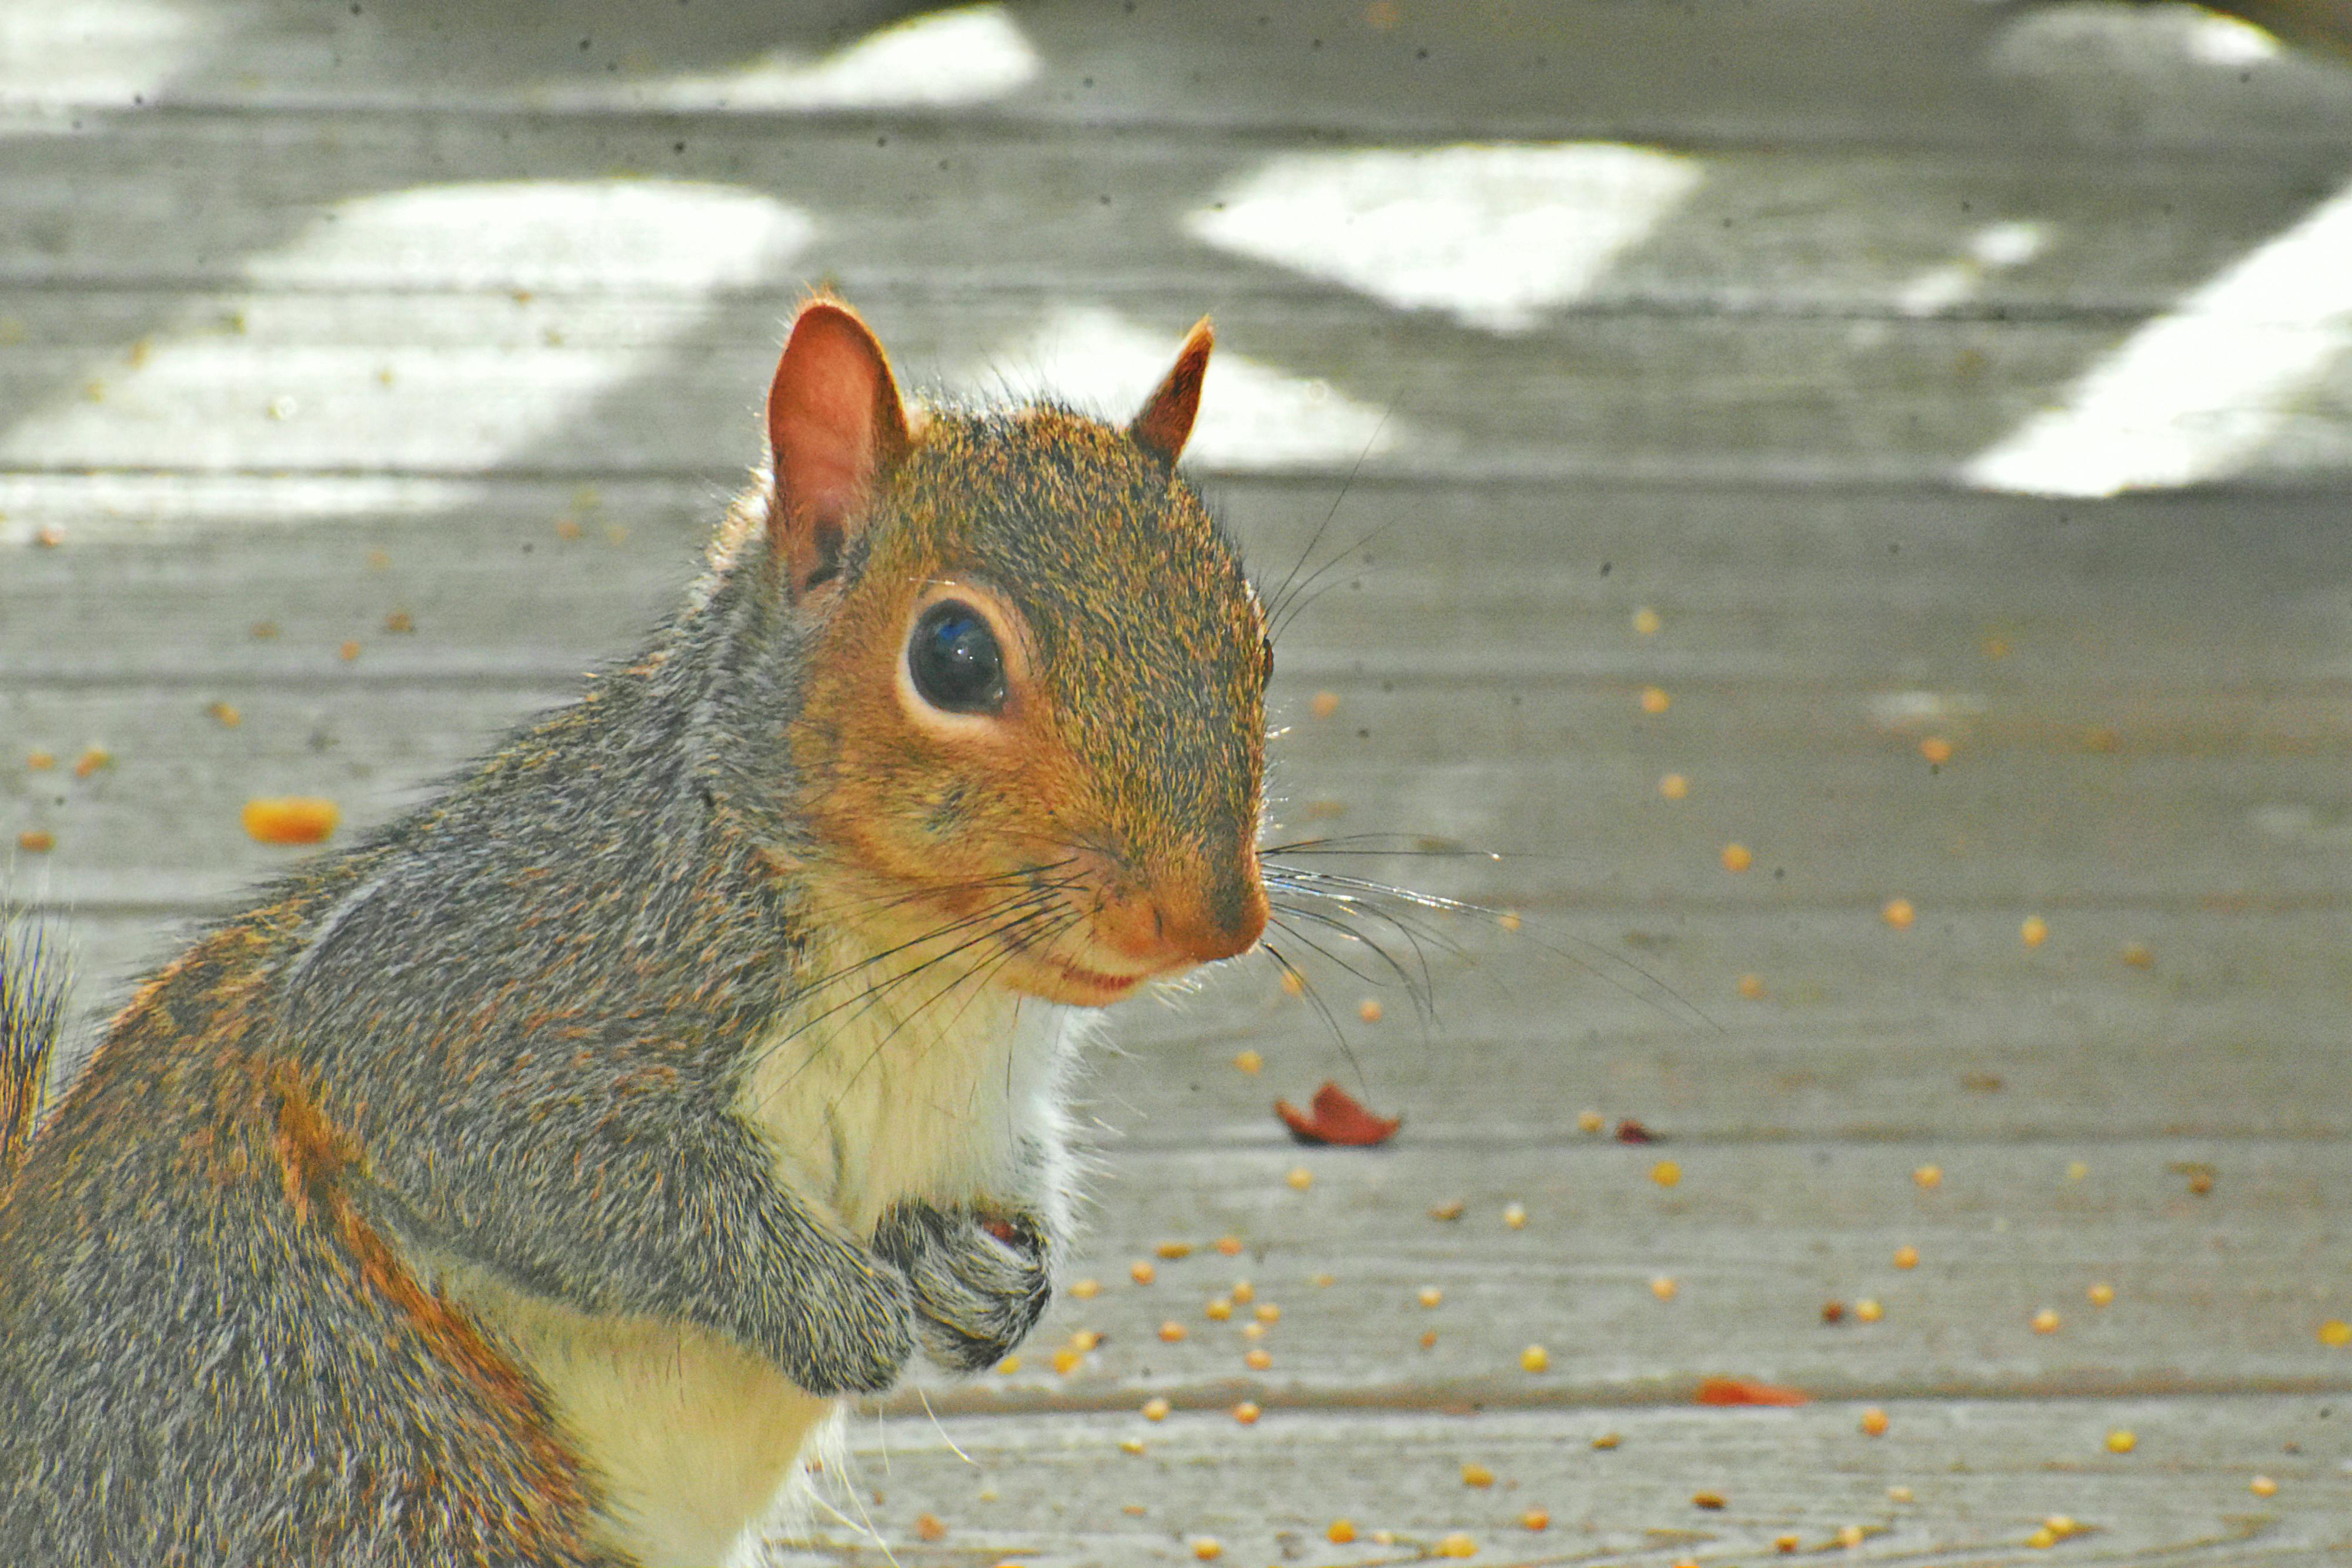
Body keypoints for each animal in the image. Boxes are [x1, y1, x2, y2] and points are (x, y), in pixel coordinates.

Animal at [0, 298, 1272, 1567]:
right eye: (952, 655)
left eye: (1253, 634)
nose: (1218, 919)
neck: (937, 980)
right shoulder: (508, 962)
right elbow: (535, 1151)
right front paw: (833, 1310)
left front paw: (996, 1286)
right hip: (378, 1448)